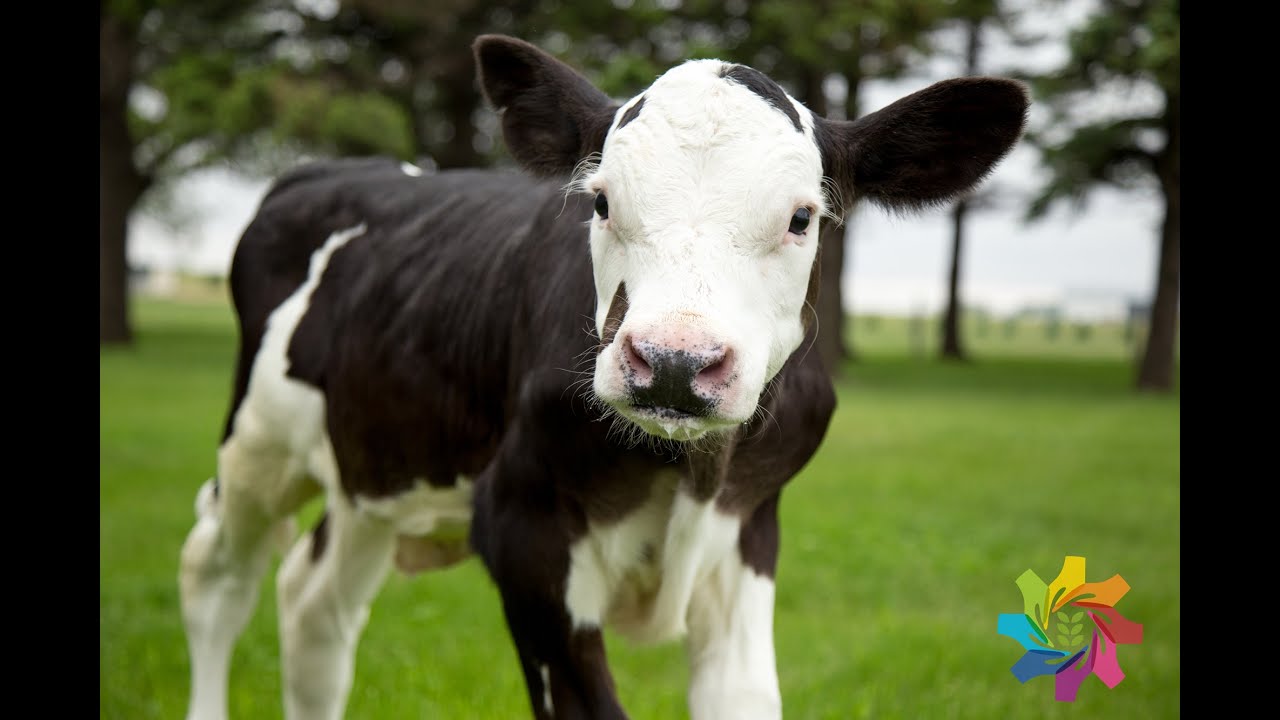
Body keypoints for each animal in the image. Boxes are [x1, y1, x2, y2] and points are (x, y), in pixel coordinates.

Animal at [178, 33, 1027, 720]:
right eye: (601, 202)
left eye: (800, 218)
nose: (676, 363)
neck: (688, 469)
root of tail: (333, 171)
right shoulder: (524, 530)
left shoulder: (750, 529)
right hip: (254, 446)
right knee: (218, 578)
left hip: (373, 467)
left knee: (313, 607)